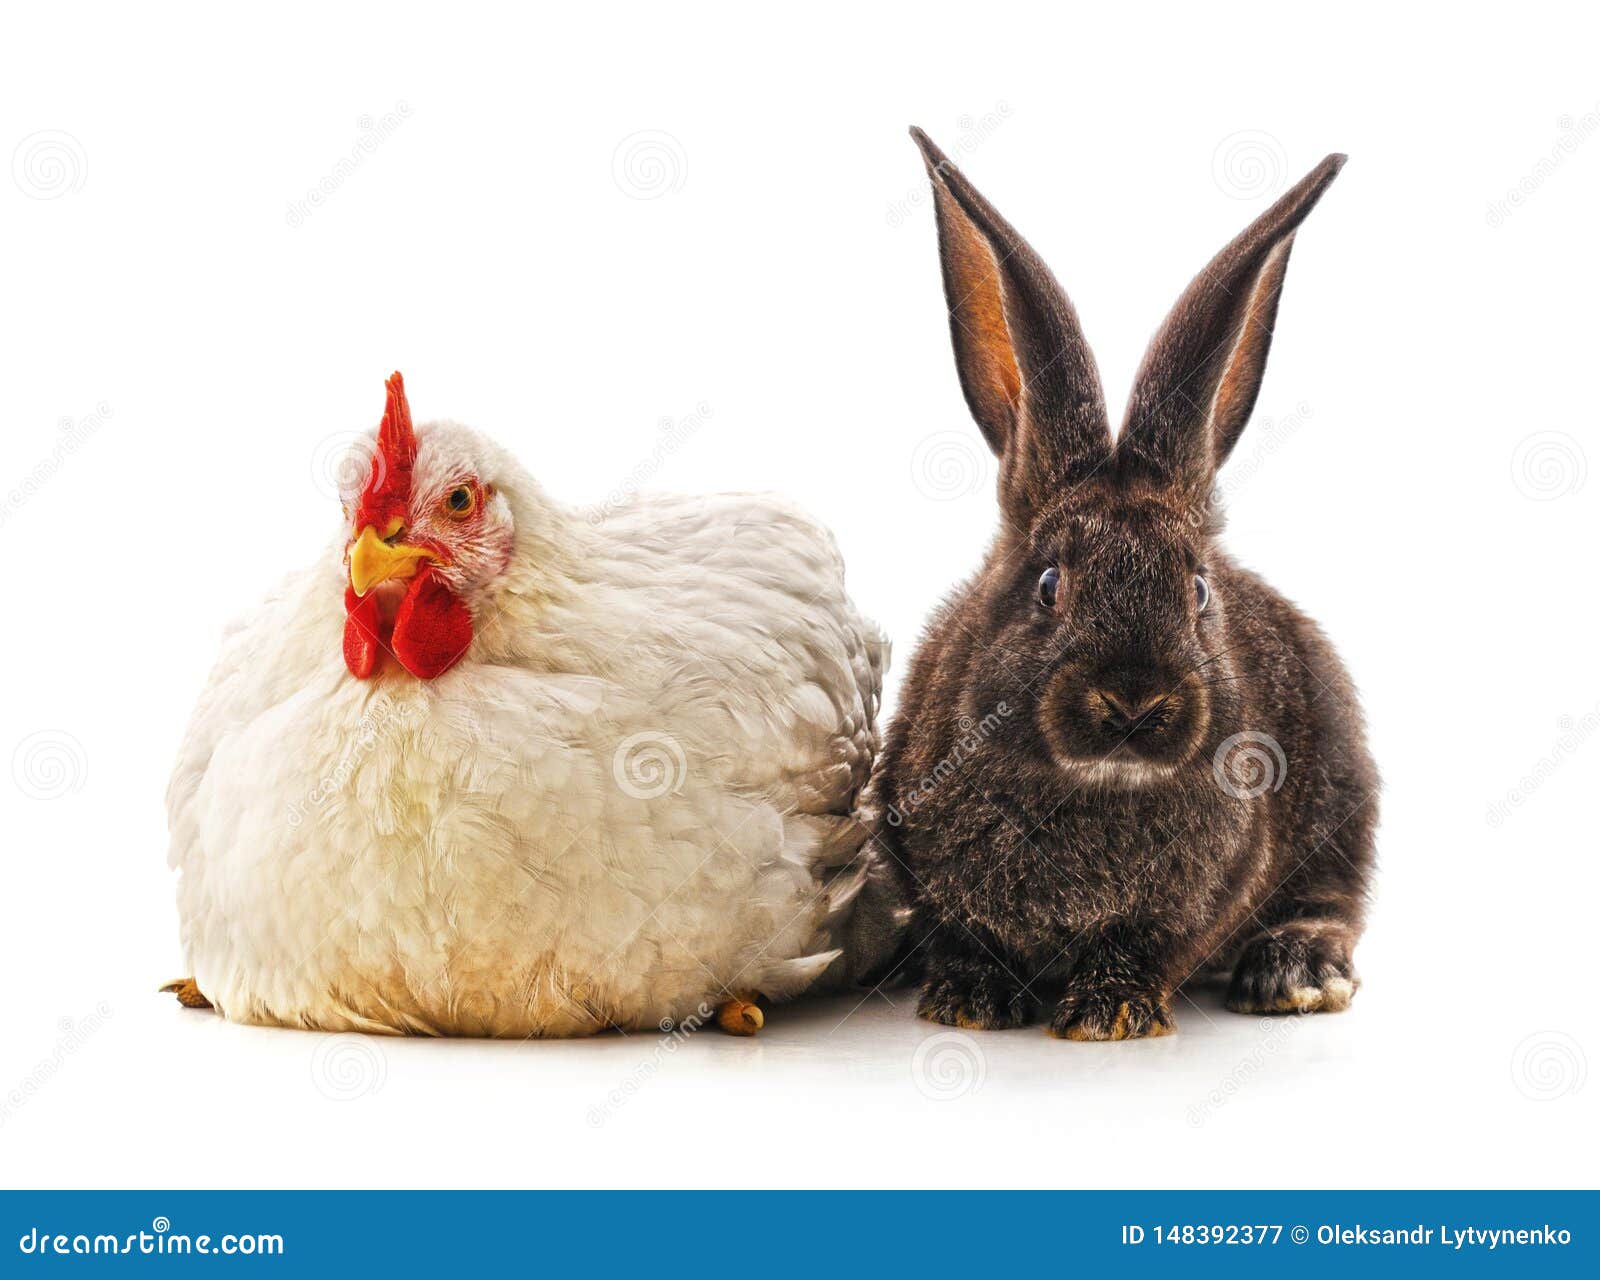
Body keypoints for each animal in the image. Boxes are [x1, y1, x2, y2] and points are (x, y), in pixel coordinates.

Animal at [871, 128, 1379, 1040]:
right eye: (1048, 584)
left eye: (1199, 592)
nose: (1136, 699)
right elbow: (961, 938)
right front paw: (968, 1002)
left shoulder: (1206, 893)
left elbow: (1148, 946)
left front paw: (1107, 1013)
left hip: (1342, 802)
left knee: (1332, 900)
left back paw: (1296, 972)